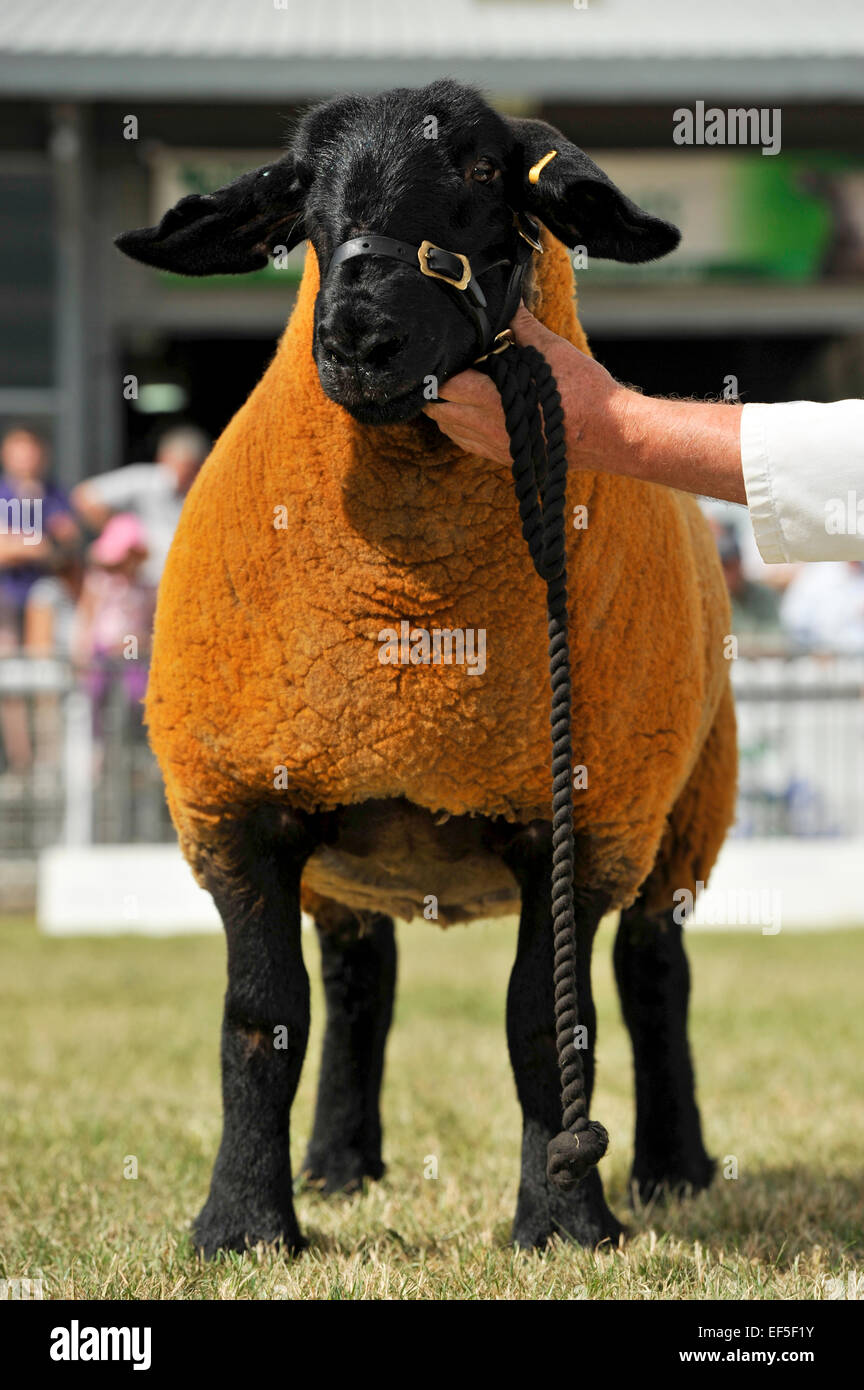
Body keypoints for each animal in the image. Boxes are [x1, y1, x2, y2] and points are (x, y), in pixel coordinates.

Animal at [116, 80, 737, 1257]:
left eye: (488, 171)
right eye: (304, 187)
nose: (363, 335)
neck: (409, 616)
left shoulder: (580, 817)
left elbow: (550, 1024)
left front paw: (563, 1222)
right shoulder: (237, 807)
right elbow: (262, 1020)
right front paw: (244, 1225)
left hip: (682, 809)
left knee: (656, 975)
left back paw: (677, 1172)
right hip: (352, 850)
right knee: (359, 980)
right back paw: (339, 1166)